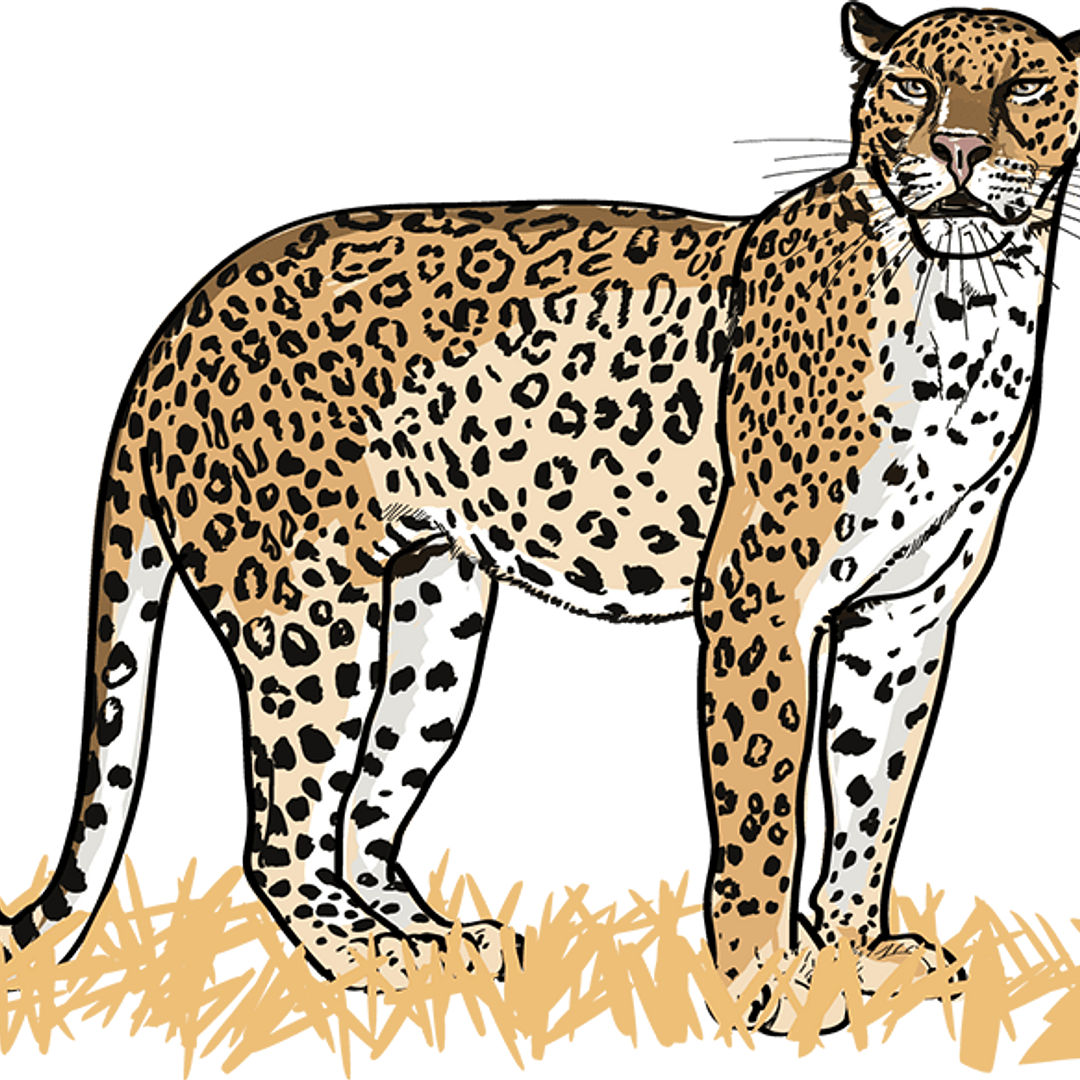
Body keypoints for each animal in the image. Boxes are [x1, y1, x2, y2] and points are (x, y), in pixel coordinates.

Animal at [3, 3, 1077, 1036]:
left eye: (1025, 87)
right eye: (914, 86)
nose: (959, 150)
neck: (969, 308)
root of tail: (183, 310)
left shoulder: (905, 621)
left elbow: (869, 793)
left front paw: (861, 951)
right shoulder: (760, 602)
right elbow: (764, 806)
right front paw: (764, 980)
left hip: (435, 620)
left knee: (364, 817)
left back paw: (437, 944)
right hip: (305, 610)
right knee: (283, 837)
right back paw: (373, 959)